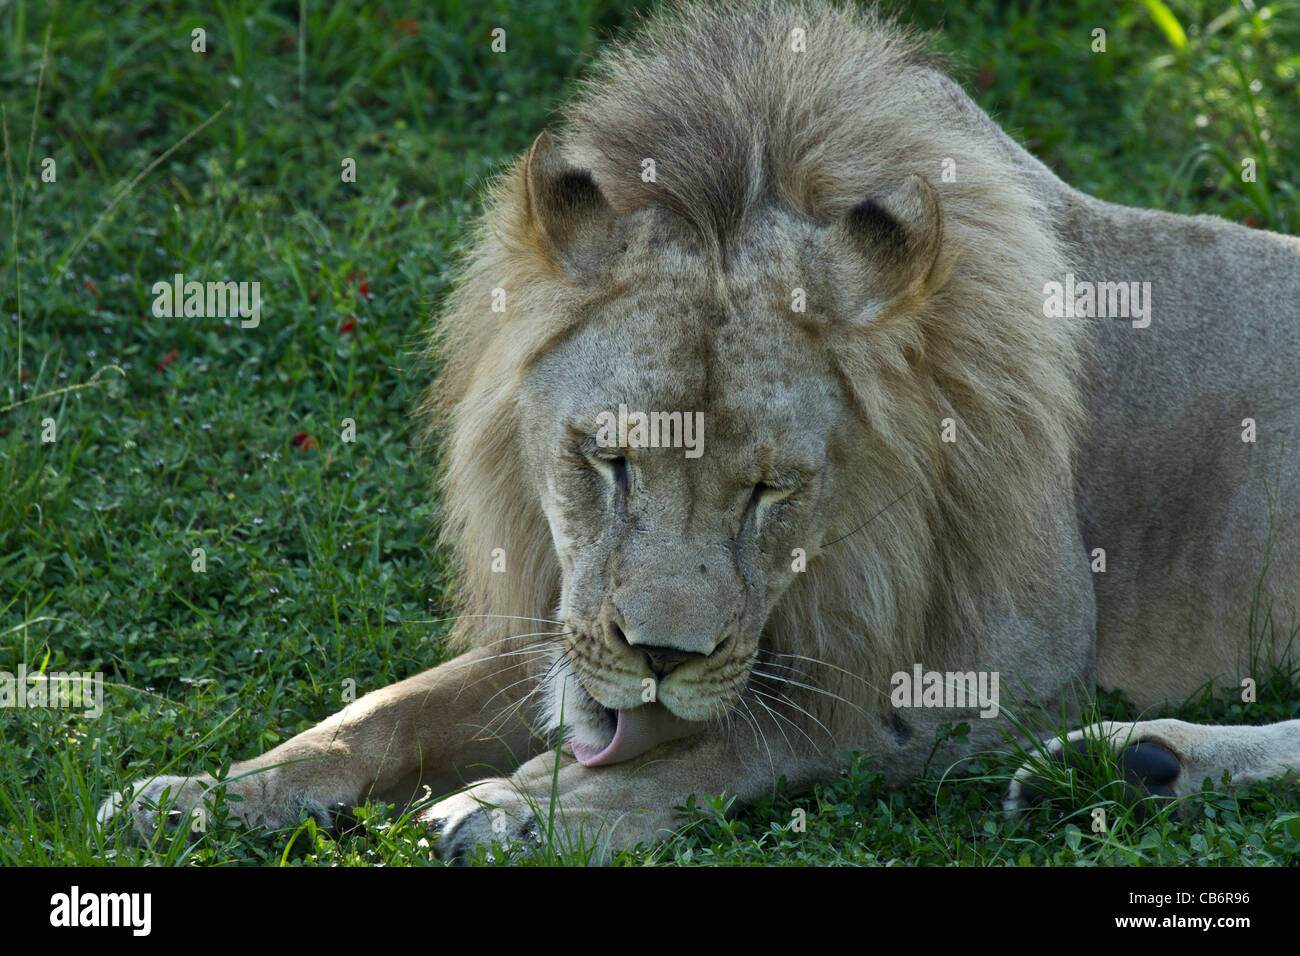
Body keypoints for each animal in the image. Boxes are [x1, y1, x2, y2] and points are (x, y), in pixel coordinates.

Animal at [99, 0, 1300, 861]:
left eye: (771, 491)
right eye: (609, 461)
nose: (660, 657)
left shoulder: (1008, 666)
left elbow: (747, 738)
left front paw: (522, 808)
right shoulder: (556, 621)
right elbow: (385, 710)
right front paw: (205, 793)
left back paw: (1140, 761)